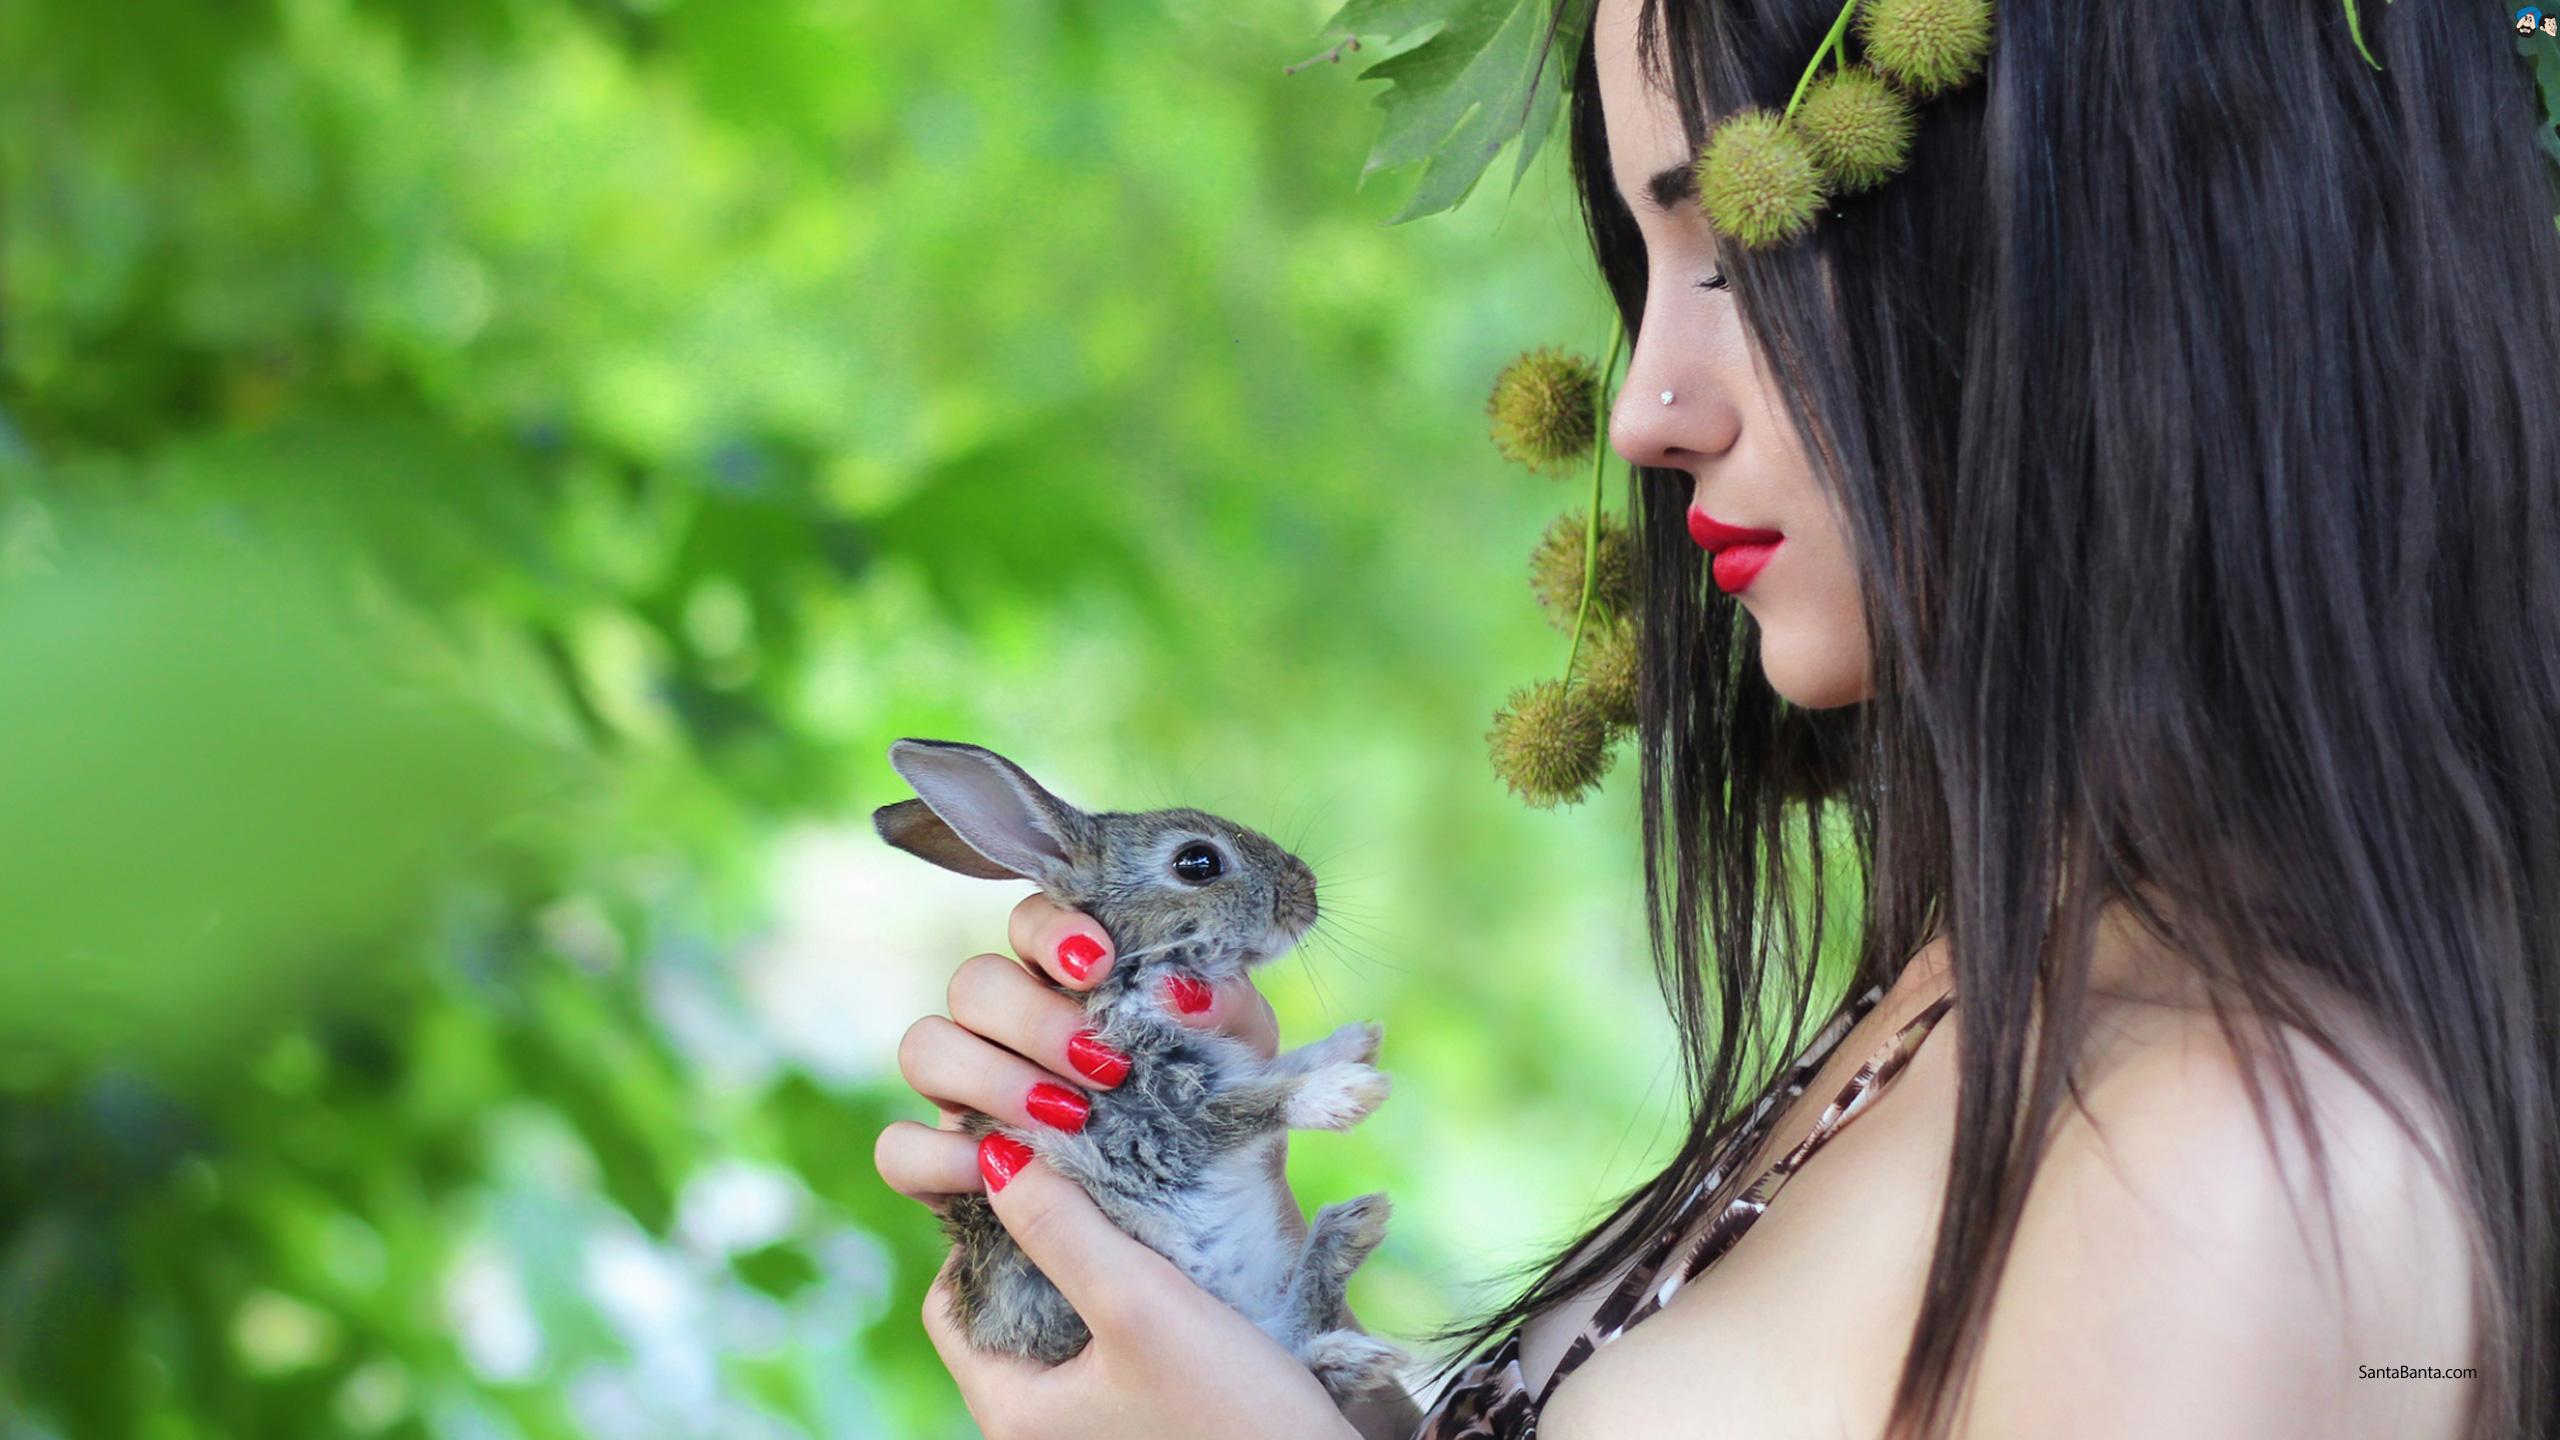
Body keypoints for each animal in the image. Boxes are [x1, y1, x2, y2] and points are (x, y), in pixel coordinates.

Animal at [872, 737, 1406, 1402]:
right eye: (1197, 862)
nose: (1306, 892)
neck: (1138, 971)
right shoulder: (1148, 1120)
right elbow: (1244, 1107)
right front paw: (1343, 1091)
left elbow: (1268, 1069)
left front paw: (1357, 1041)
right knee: (1298, 1352)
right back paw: (1348, 1314)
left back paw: (1349, 1241)